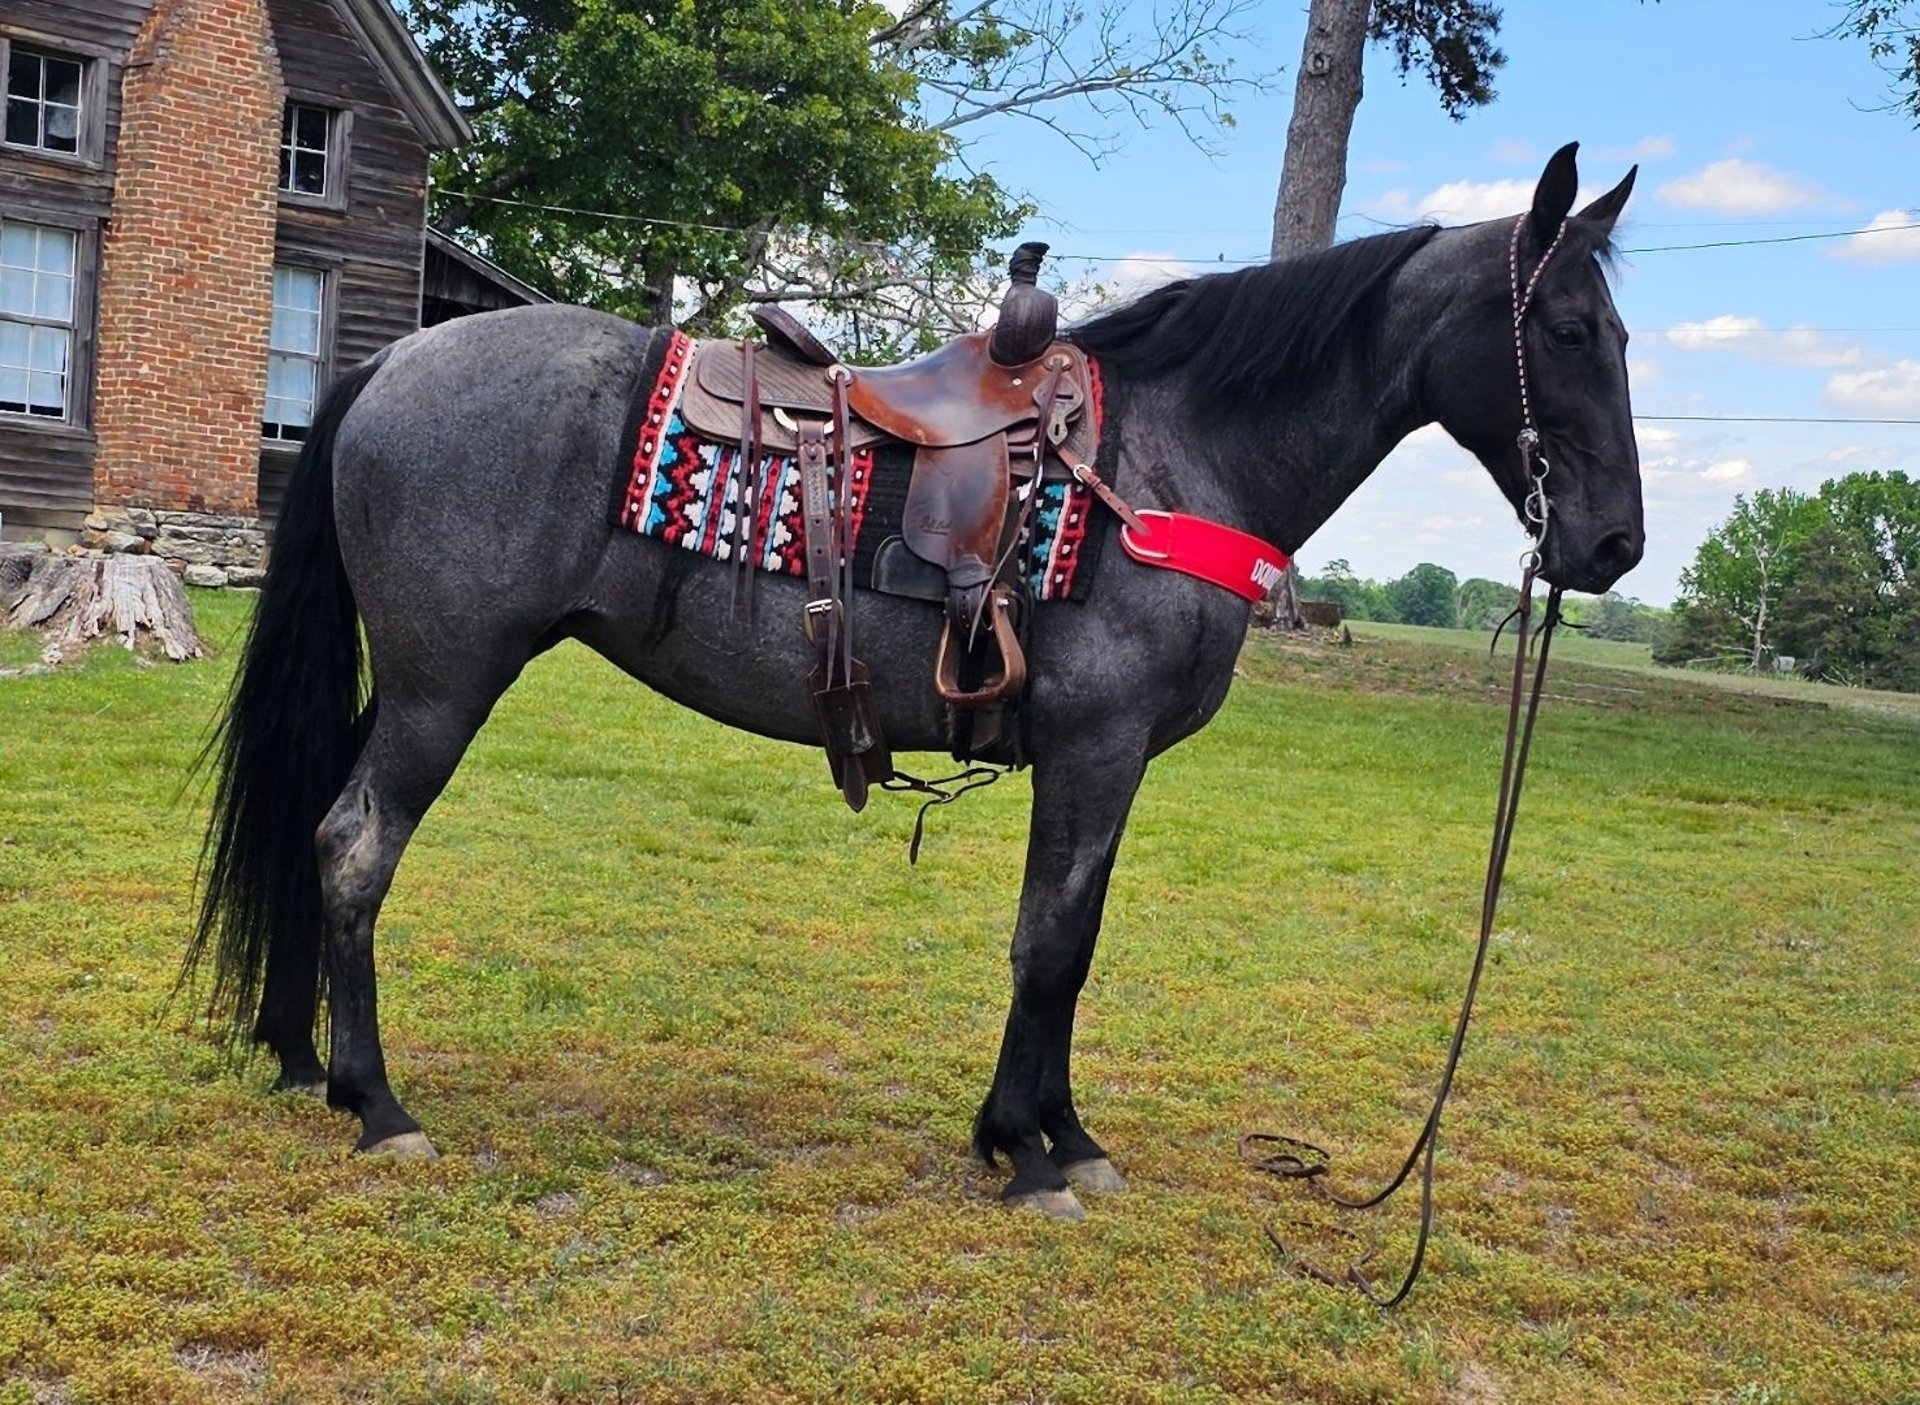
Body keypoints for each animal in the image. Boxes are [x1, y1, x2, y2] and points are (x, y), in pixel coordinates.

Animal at [190, 144, 1642, 1221]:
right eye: (1570, 328)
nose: (1616, 546)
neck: (1171, 460)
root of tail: (393, 360)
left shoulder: (1104, 765)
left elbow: (1076, 940)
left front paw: (1060, 1132)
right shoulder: (1096, 746)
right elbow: (1050, 944)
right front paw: (1028, 1152)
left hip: (409, 681)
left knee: (315, 828)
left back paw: (300, 1056)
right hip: (446, 685)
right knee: (354, 844)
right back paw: (378, 1103)